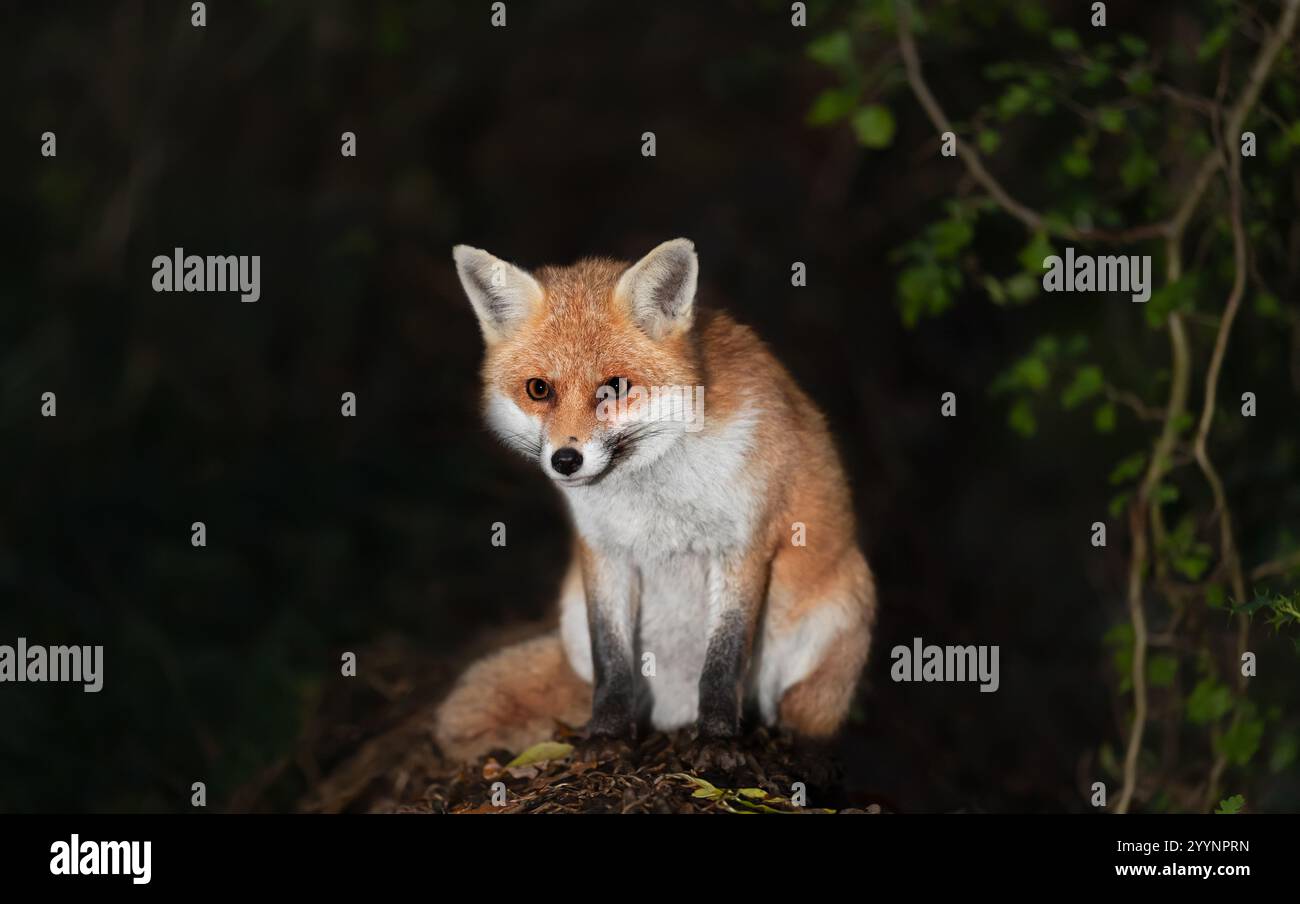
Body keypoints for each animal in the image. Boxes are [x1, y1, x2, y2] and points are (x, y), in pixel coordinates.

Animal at [433, 238, 876, 760]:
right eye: (539, 389)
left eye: (615, 387)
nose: (565, 460)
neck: (652, 499)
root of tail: (672, 710)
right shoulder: (603, 551)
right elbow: (611, 660)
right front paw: (606, 734)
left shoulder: (743, 545)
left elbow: (724, 662)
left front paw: (718, 739)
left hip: (841, 612)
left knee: (804, 714)